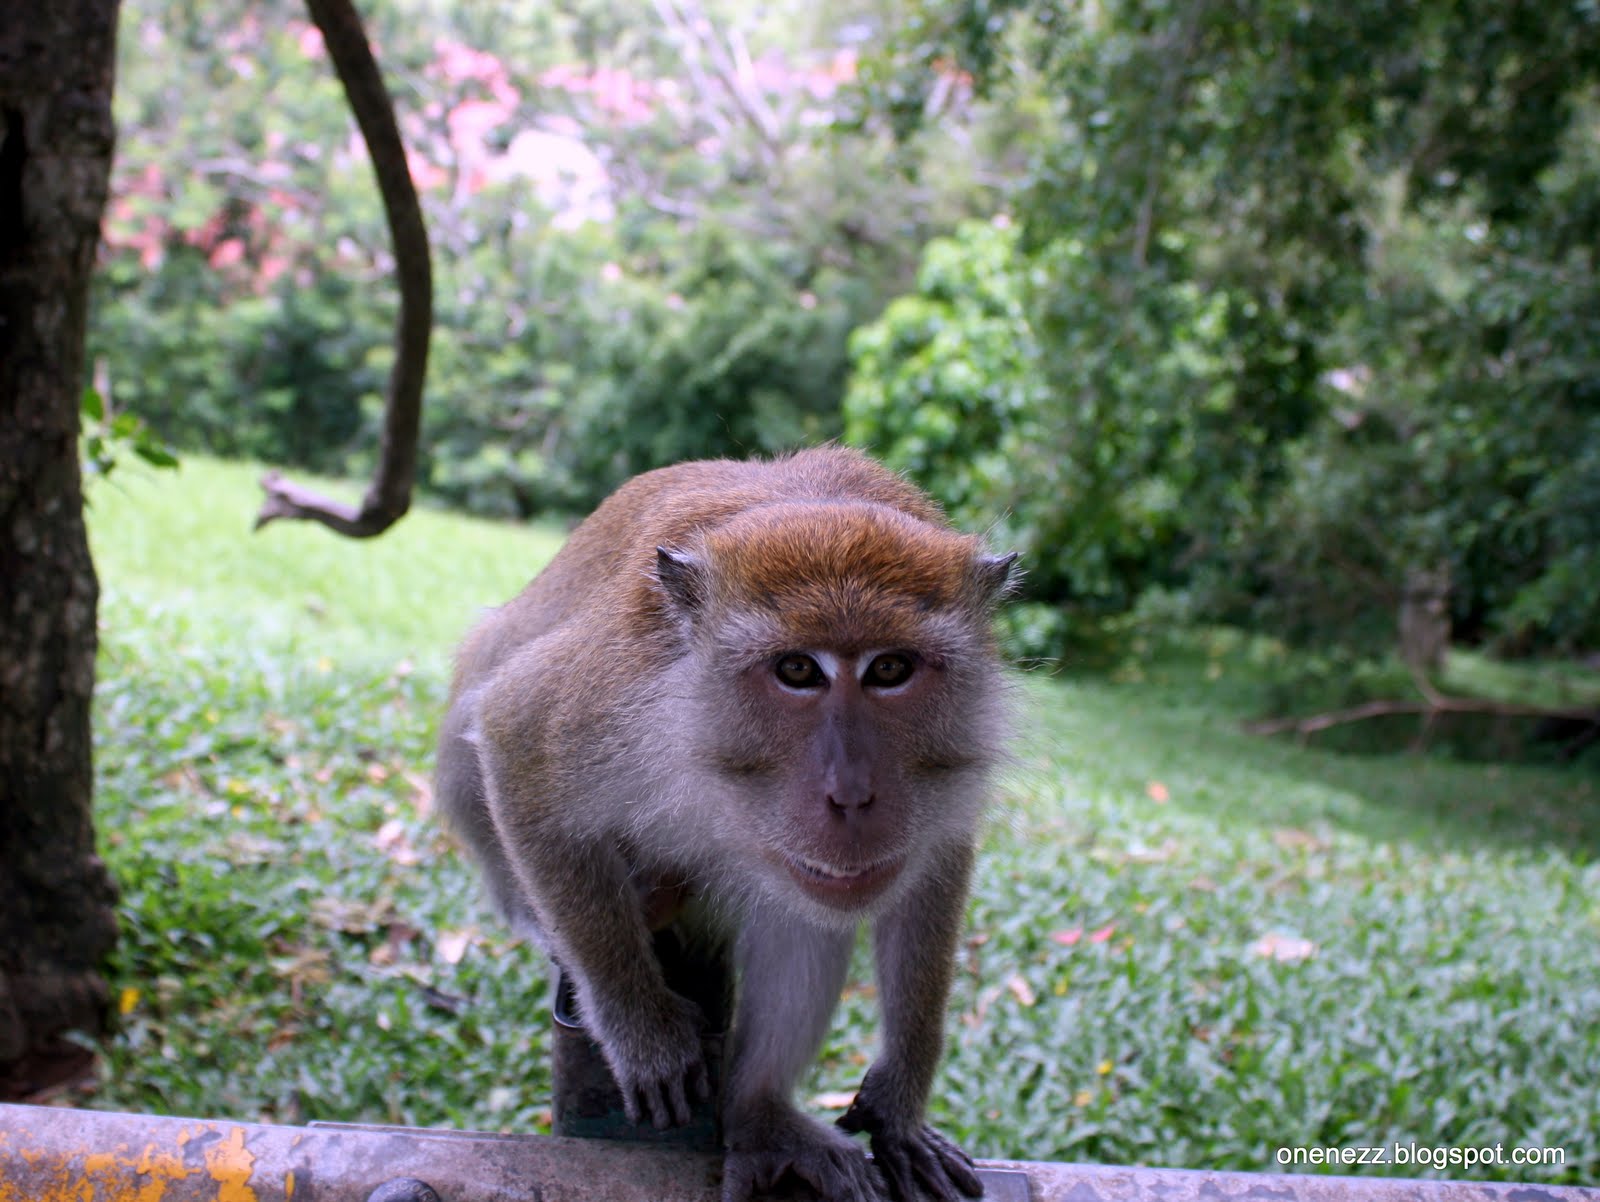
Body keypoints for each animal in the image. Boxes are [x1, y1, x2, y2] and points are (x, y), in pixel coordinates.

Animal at [436, 447, 1016, 1202]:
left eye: (890, 668)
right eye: (797, 669)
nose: (852, 794)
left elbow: (933, 867)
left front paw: (900, 1100)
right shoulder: (620, 686)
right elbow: (513, 736)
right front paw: (641, 1029)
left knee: (805, 917)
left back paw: (758, 1115)